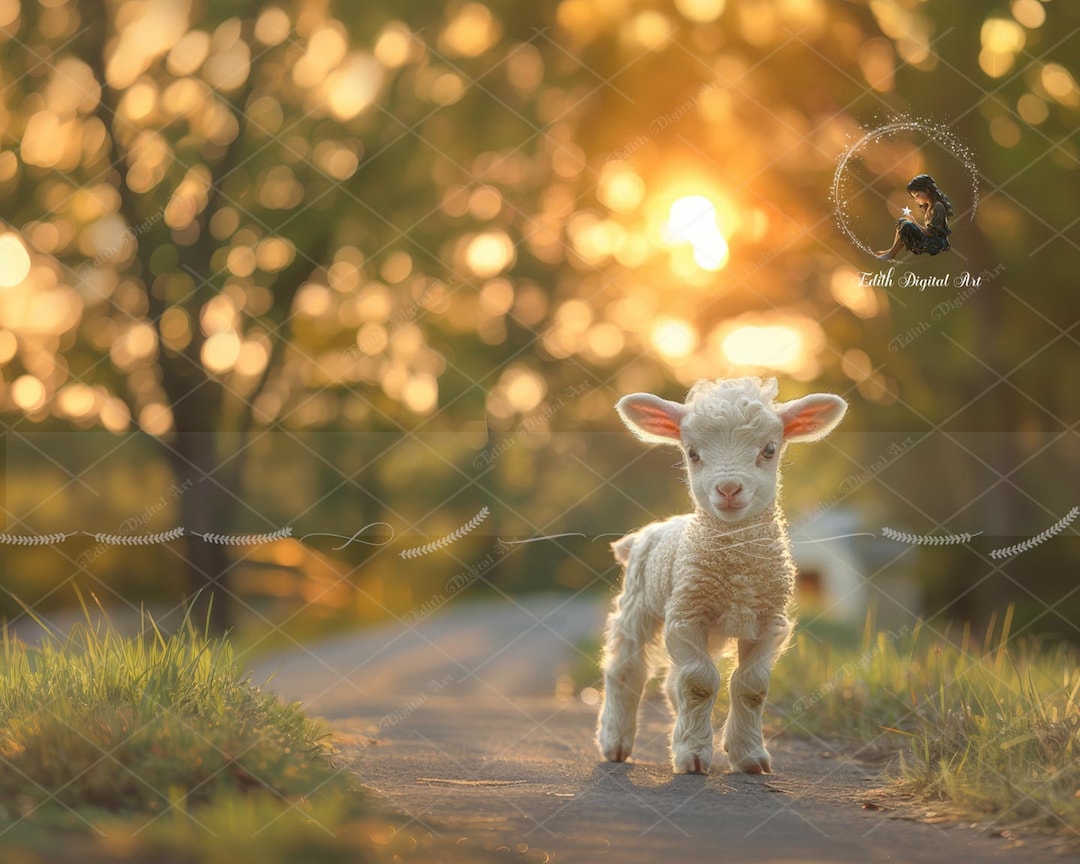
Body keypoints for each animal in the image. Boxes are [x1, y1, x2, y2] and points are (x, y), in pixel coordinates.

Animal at [596, 376, 847, 775]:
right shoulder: (686, 614)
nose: (728, 489)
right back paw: (615, 743)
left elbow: (751, 687)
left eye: (769, 450)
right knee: (626, 669)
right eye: (693, 453)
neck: (736, 568)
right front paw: (693, 757)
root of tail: (648, 531)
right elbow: (699, 683)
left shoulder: (768, 620)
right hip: (638, 603)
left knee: (671, 682)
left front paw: (749, 756)